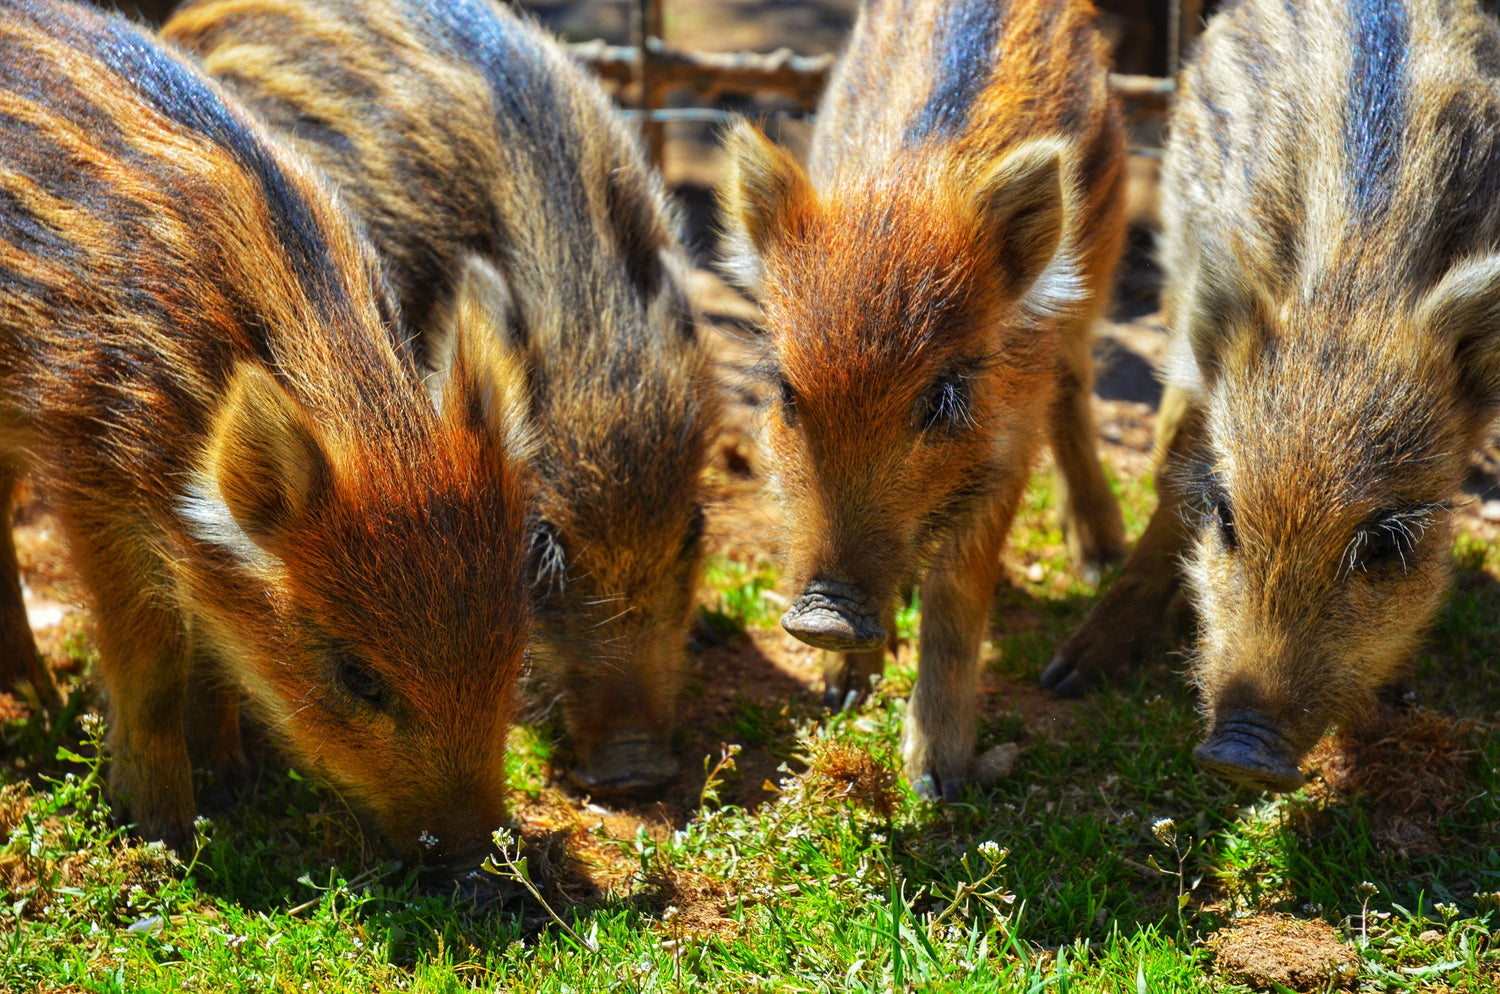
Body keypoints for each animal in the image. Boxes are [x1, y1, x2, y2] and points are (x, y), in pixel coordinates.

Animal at [0, 0, 533, 858]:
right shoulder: (91, 470)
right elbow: (152, 659)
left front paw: (230, 779)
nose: (470, 852)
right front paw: (163, 830)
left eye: (515, 648)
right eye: (357, 677)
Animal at [718, 0, 1127, 799]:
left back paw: (1101, 562)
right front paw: (841, 695)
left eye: (941, 398)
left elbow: (958, 591)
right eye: (786, 392)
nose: (823, 616)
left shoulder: (1008, 442)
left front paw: (937, 779)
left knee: (1075, 385)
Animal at [1042, 0, 1500, 790]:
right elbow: (1173, 497)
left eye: (1387, 543)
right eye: (1227, 517)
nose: (1240, 754)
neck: (1354, 280)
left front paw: (1398, 696)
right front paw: (1064, 678)